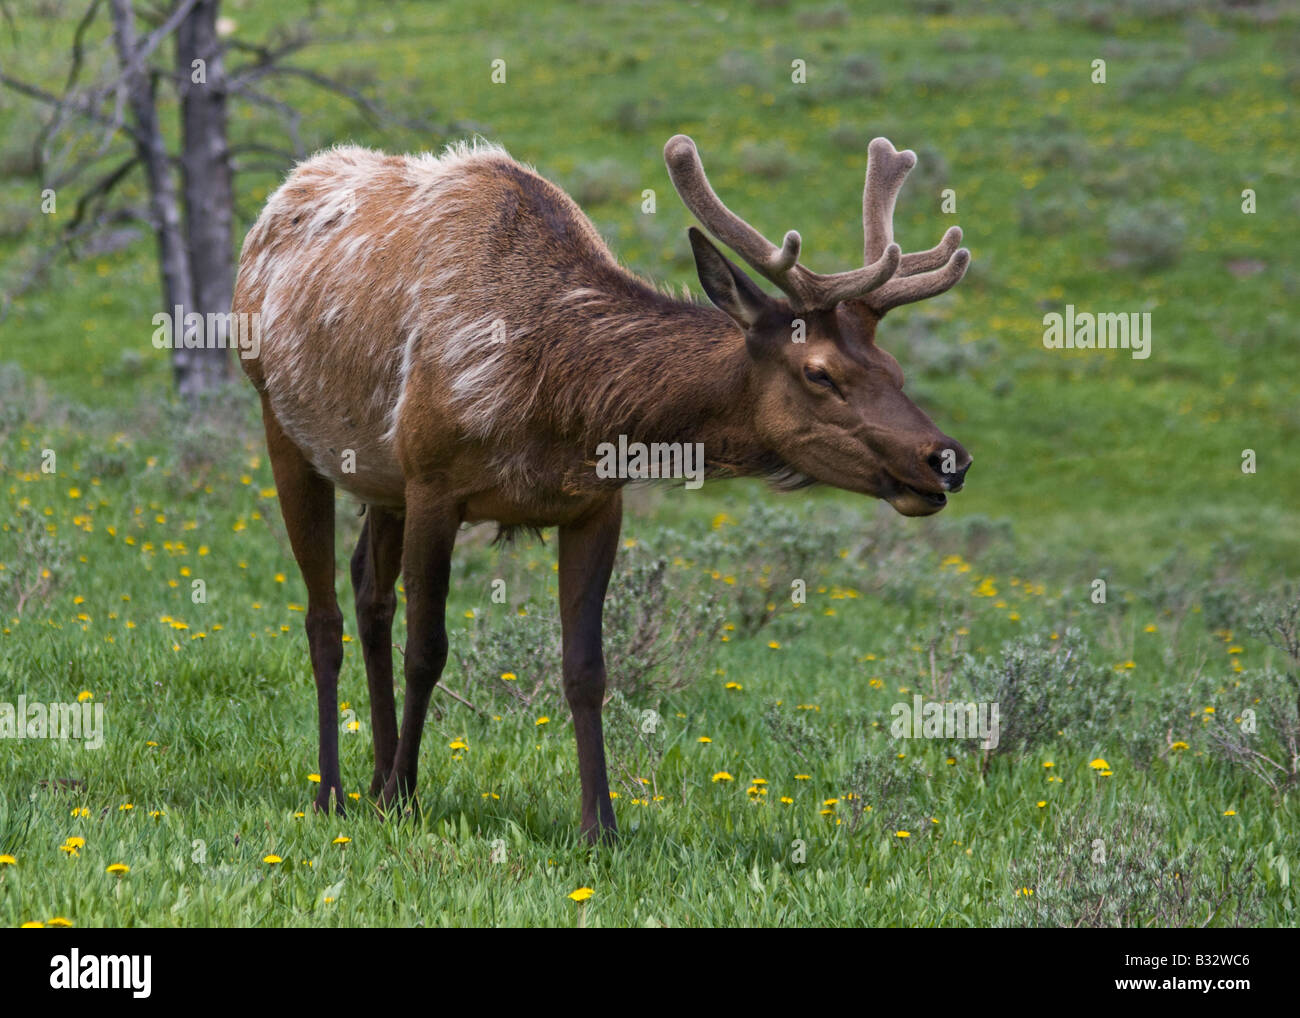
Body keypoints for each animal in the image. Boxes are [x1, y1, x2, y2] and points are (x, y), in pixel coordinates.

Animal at [232, 132, 972, 843]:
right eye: (819, 372)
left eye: (893, 367)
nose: (949, 458)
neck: (559, 400)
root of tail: (273, 205)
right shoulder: (434, 480)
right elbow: (428, 651)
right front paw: (402, 801)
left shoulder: (596, 503)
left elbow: (587, 668)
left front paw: (600, 826)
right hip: (286, 426)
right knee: (324, 617)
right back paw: (336, 791)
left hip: (382, 480)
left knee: (369, 592)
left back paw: (376, 771)